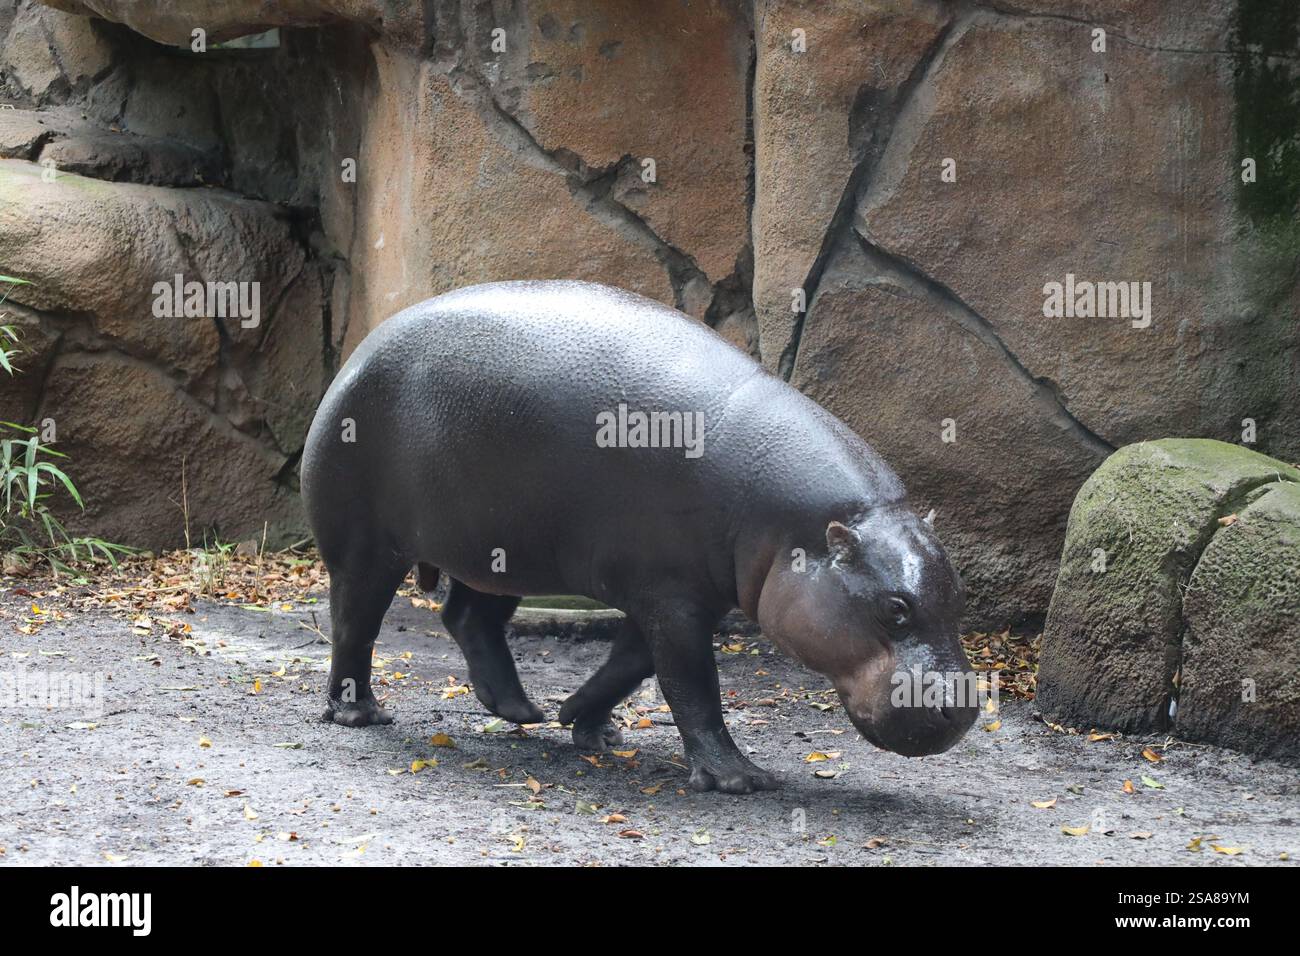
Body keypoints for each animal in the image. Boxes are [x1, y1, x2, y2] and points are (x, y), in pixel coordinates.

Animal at [301, 280, 977, 793]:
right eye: (895, 608)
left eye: (960, 596)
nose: (965, 708)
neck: (800, 525)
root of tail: (358, 352)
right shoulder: (672, 597)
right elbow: (691, 683)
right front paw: (740, 779)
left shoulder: (676, 592)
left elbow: (632, 665)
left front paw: (588, 726)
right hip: (368, 545)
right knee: (354, 623)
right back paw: (360, 714)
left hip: (500, 542)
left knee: (470, 616)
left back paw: (522, 711)